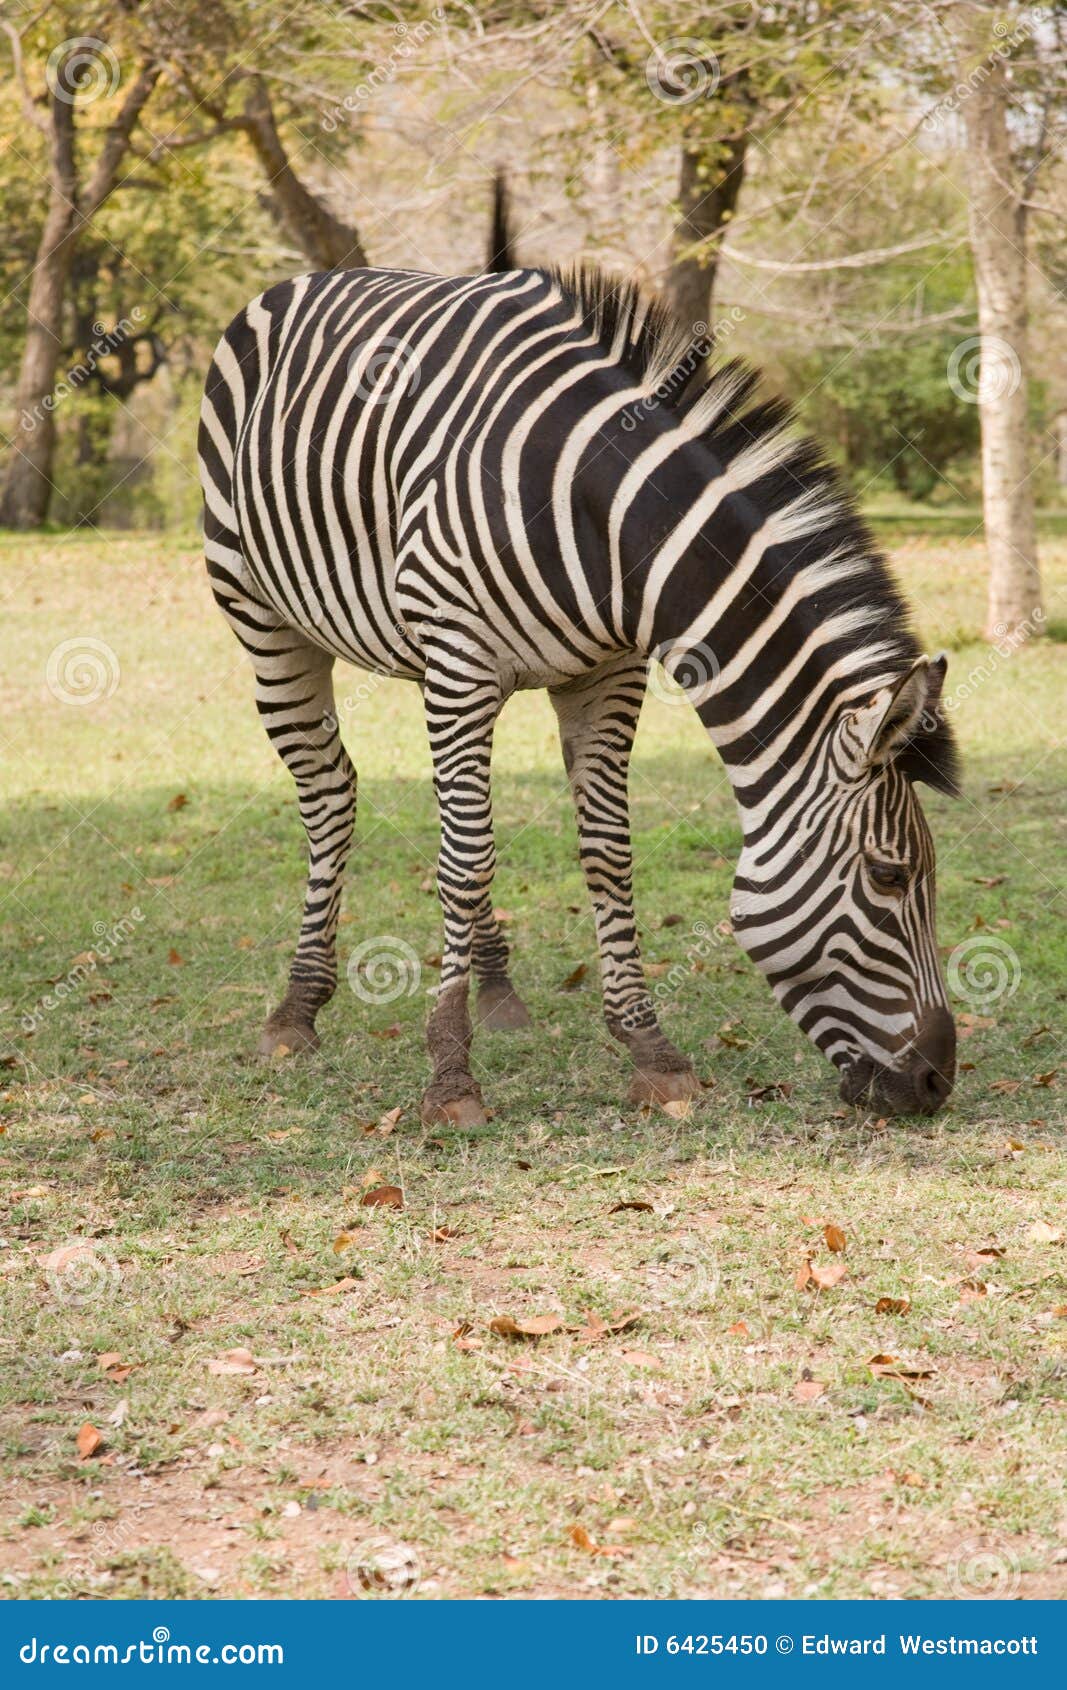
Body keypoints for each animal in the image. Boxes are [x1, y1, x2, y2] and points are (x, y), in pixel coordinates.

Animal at [197, 209, 959, 1124]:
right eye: (888, 875)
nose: (936, 1082)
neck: (603, 519)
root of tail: (311, 278)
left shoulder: (605, 676)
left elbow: (602, 851)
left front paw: (648, 1049)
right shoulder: (462, 661)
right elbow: (464, 862)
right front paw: (449, 1074)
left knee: (450, 810)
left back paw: (497, 989)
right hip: (265, 617)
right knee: (331, 794)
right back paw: (297, 1008)